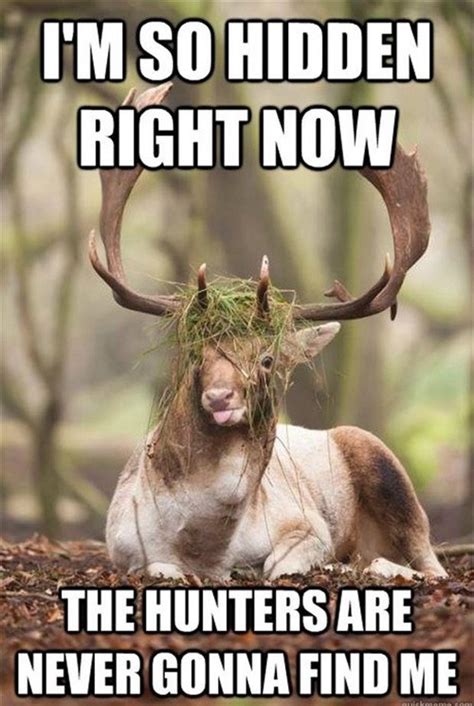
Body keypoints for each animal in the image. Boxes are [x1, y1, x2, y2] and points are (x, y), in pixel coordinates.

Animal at [89, 84, 446, 581]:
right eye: (197, 354)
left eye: (267, 358)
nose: (220, 397)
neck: (207, 549)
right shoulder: (124, 549)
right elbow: (162, 569)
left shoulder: (307, 525)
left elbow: (282, 566)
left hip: (387, 466)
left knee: (431, 565)